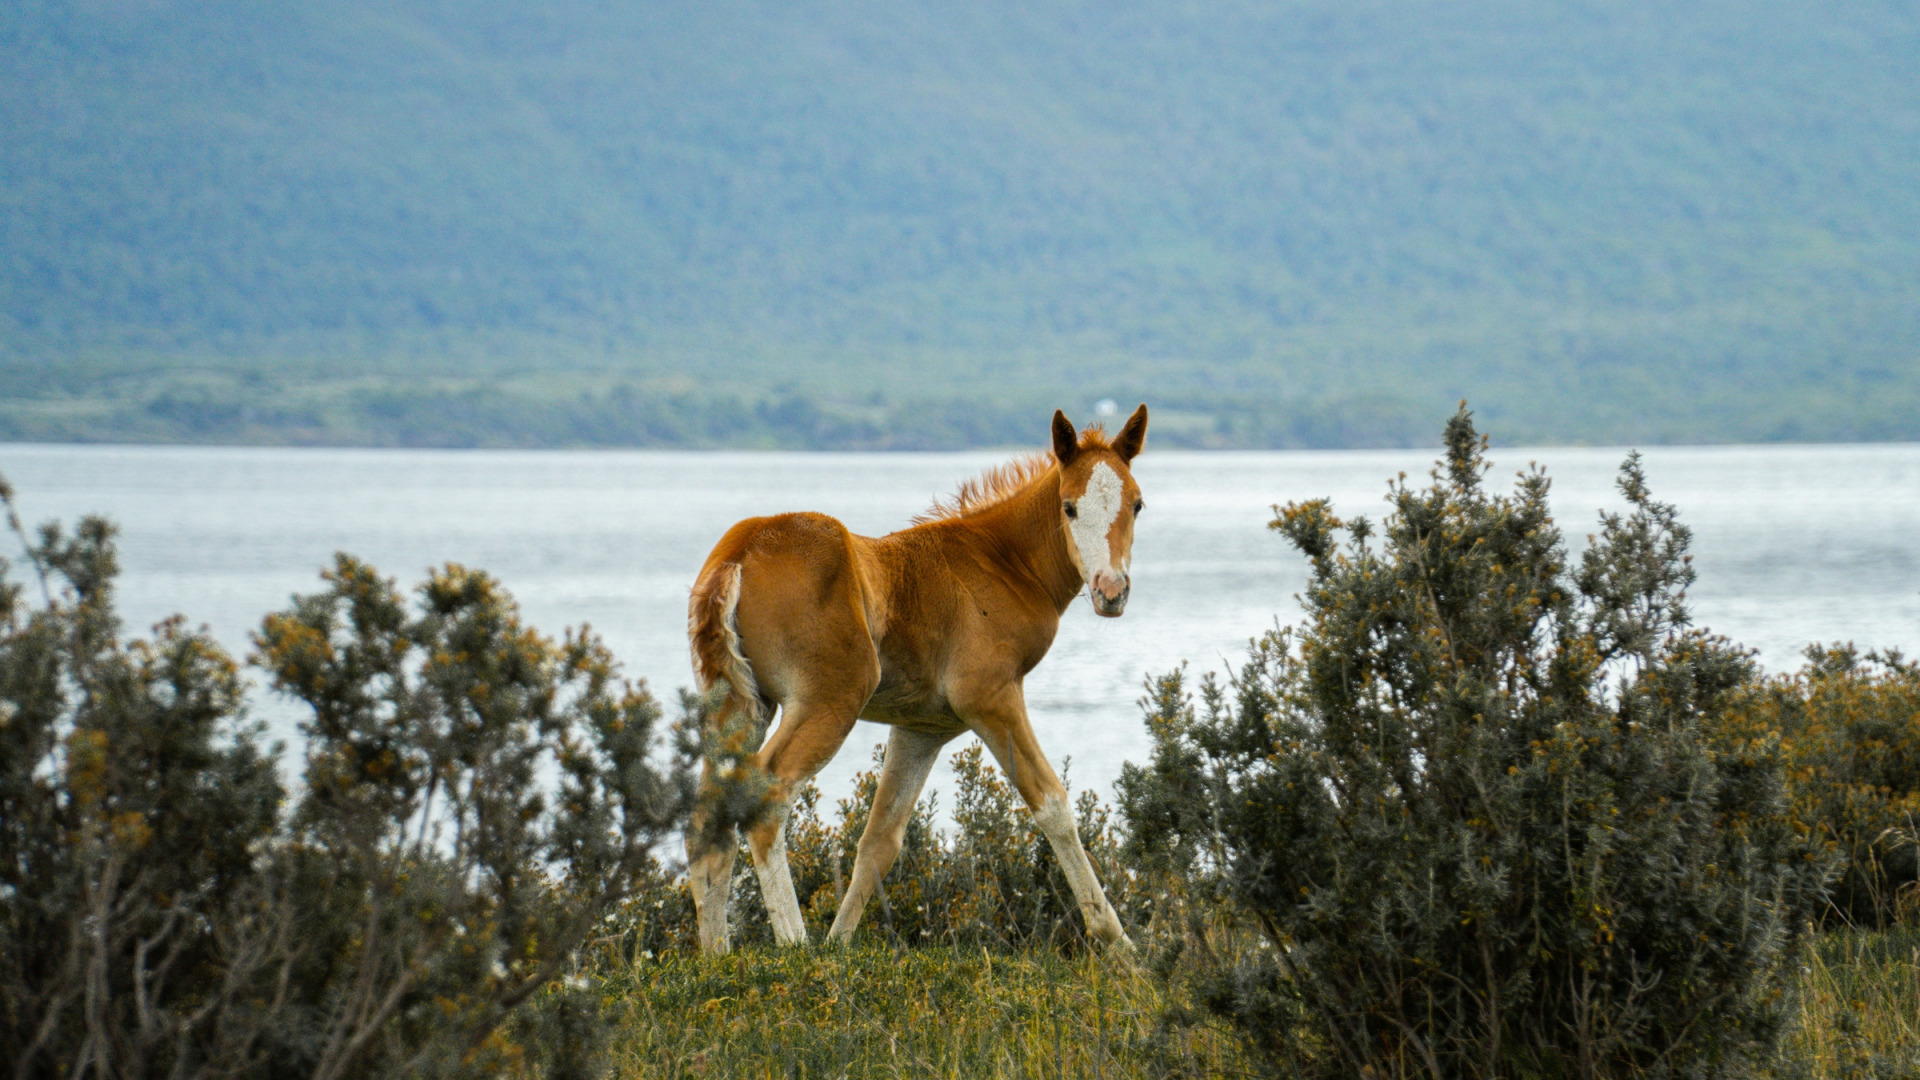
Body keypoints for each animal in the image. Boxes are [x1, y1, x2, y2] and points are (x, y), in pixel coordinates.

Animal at [684, 405, 1149, 954]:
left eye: (1137, 504)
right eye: (1070, 507)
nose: (1111, 591)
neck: (999, 560)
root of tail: (738, 555)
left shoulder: (923, 728)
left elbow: (879, 841)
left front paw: (839, 947)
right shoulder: (991, 698)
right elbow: (1053, 804)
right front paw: (1120, 947)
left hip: (739, 707)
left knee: (706, 822)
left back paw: (717, 956)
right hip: (829, 701)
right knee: (767, 801)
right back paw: (795, 948)